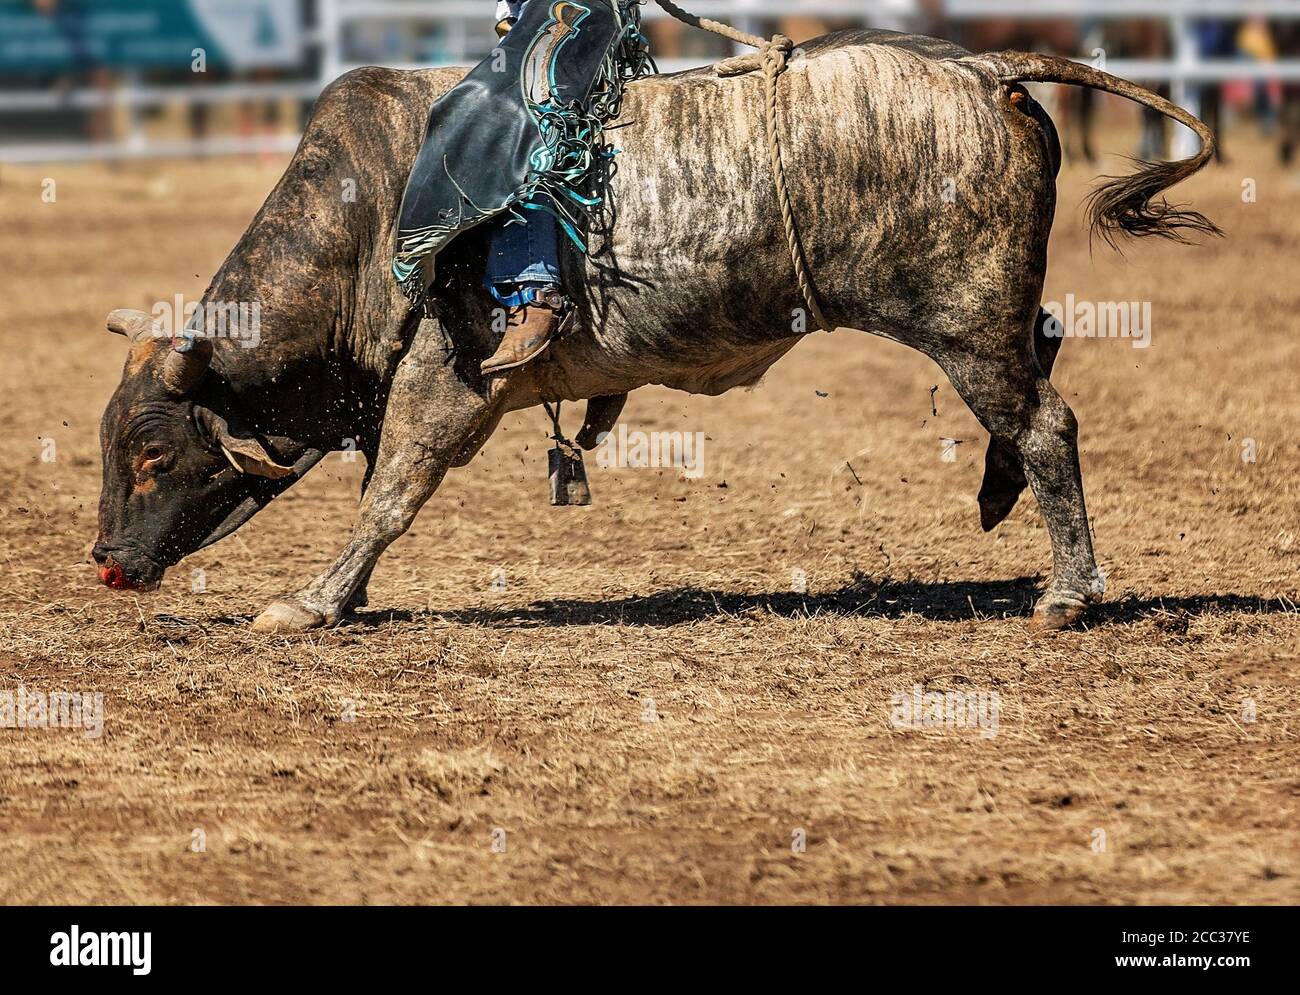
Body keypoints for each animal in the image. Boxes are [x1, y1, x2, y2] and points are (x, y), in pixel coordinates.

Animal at [92, 30, 1219, 633]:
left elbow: (393, 492)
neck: (373, 219)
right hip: (988, 316)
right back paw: (997, 493)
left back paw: (1068, 591)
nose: (104, 559)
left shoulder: (449, 379)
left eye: (153, 452)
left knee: (1047, 422)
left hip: (963, 321)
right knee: (1047, 353)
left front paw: (314, 601)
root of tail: (986, 67)